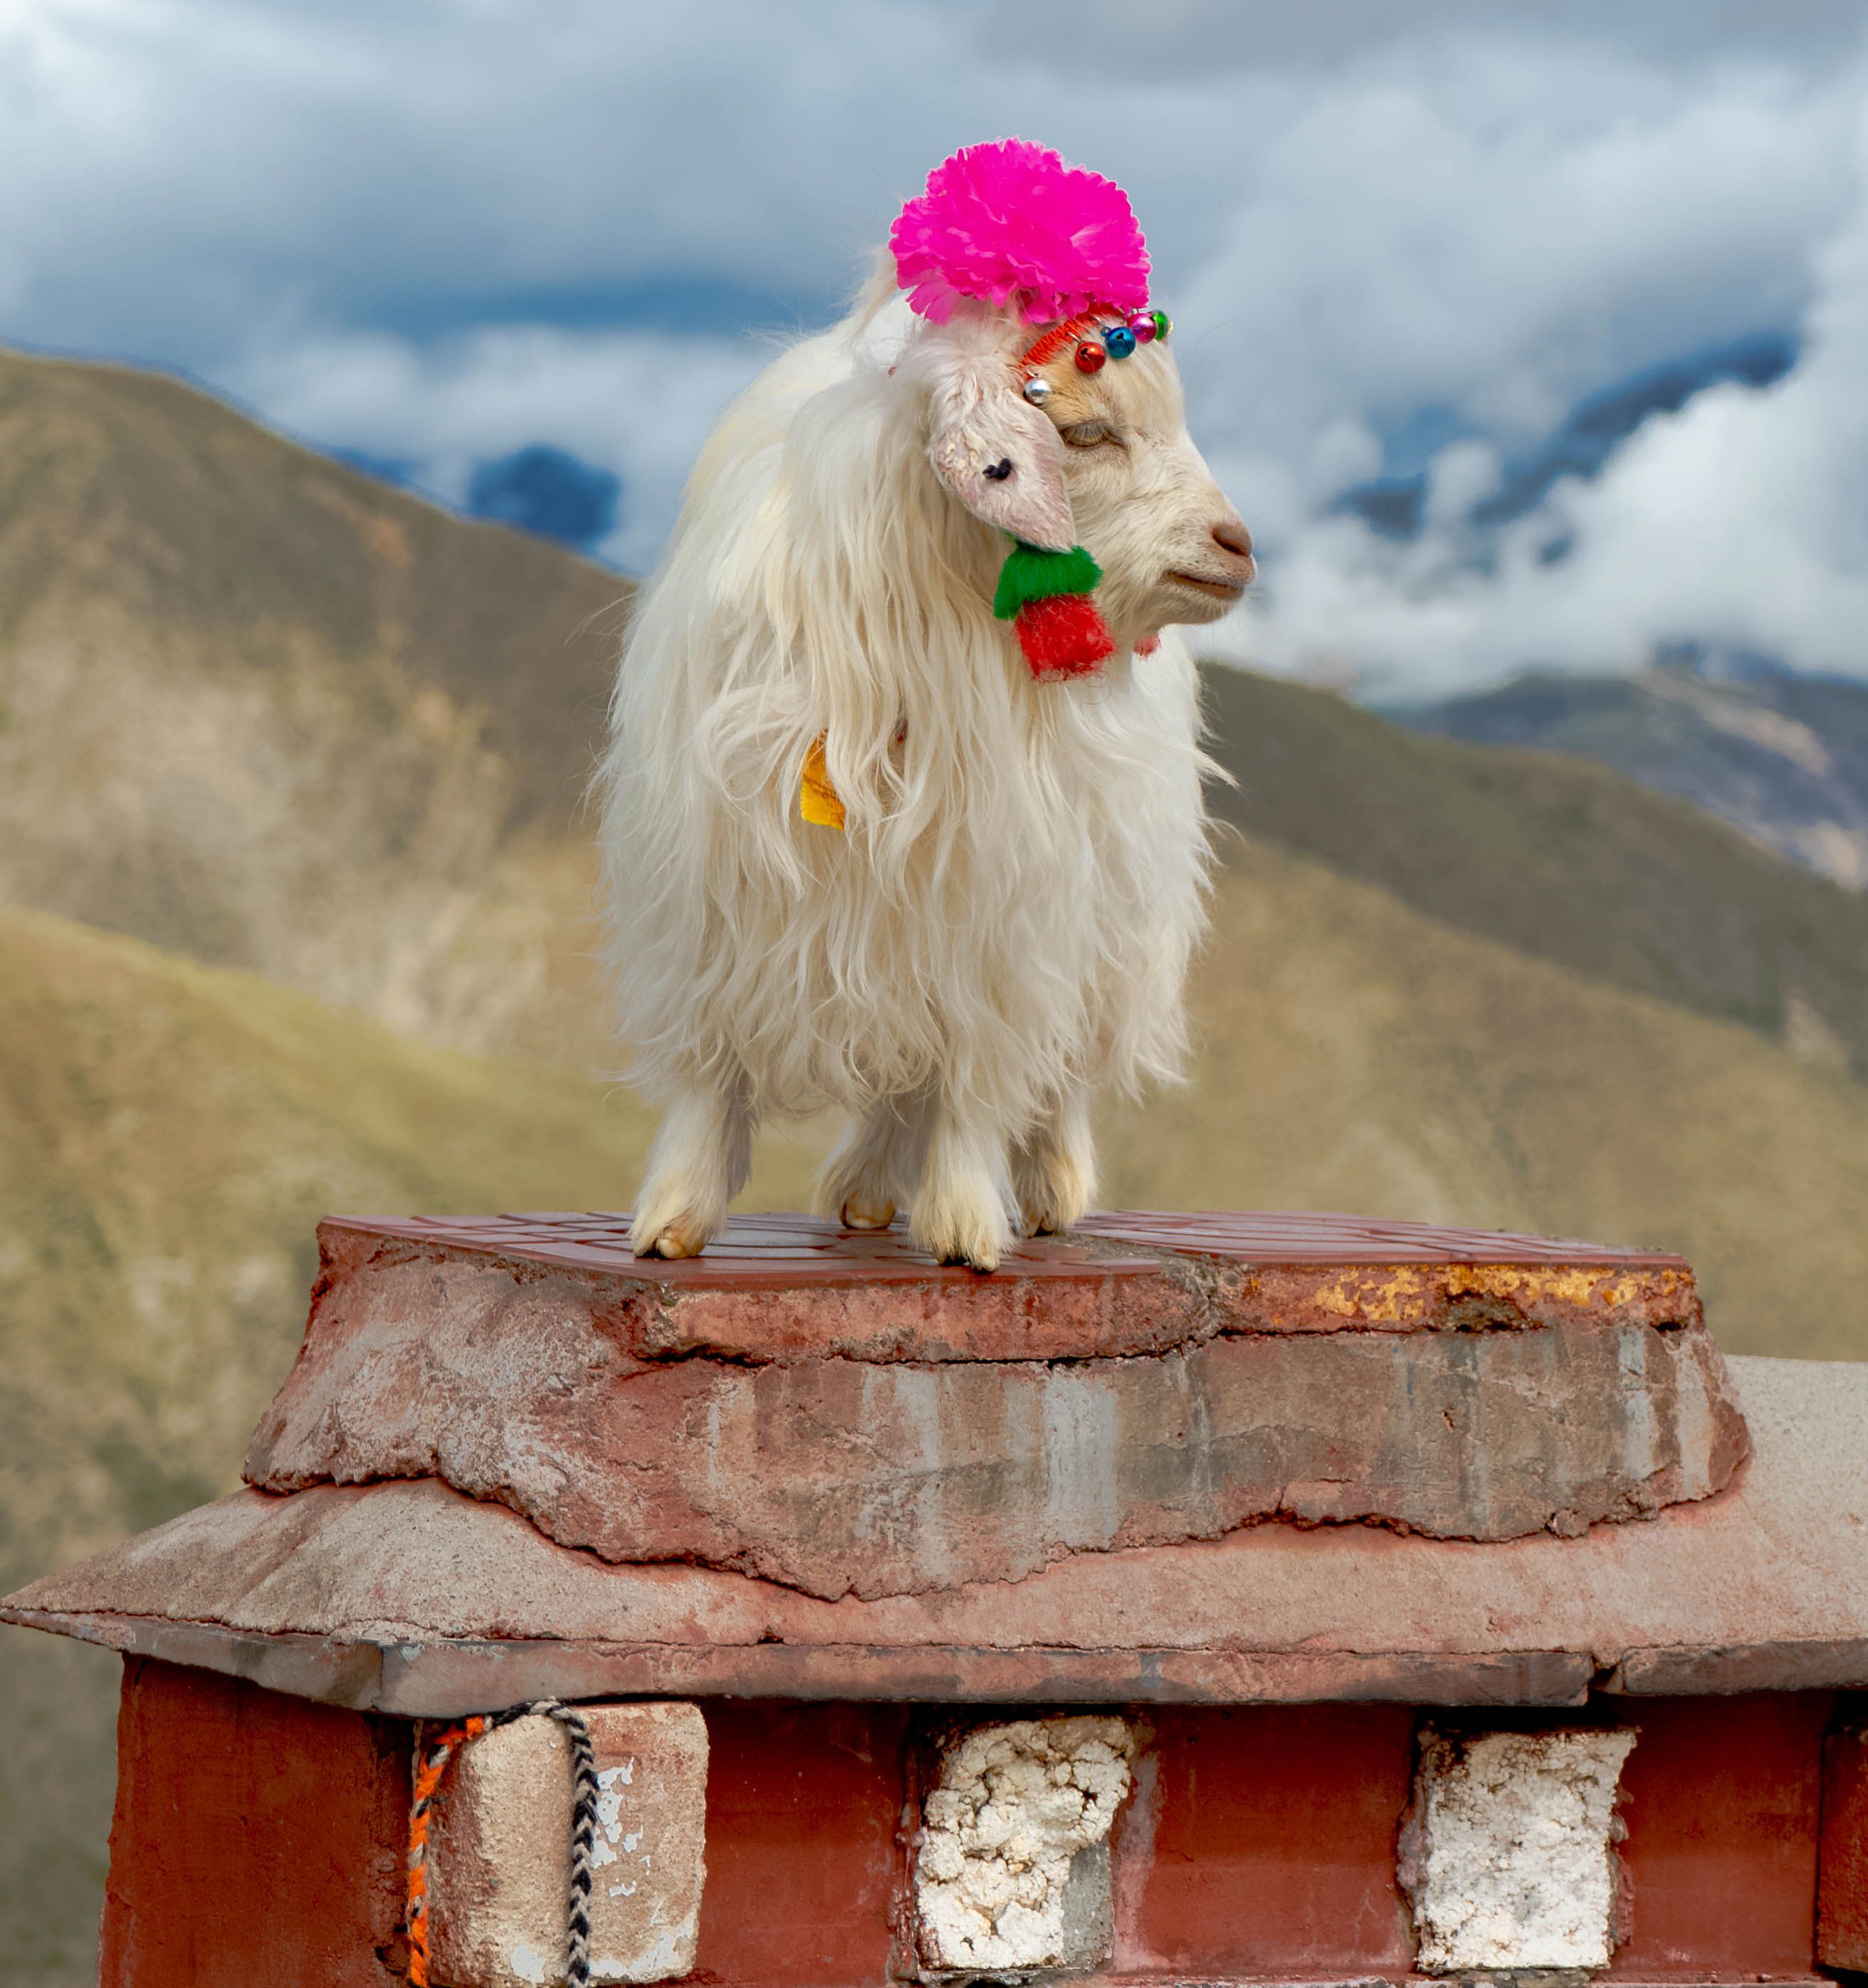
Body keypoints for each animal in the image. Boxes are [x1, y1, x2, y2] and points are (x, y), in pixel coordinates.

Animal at [597, 142, 1253, 1270]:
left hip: (1112, 903)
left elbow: (980, 1079)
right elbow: (707, 1070)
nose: (1237, 545)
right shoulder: (720, 890)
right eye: (1088, 430)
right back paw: (866, 1188)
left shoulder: (1007, 905)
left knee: (1053, 1067)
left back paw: (1047, 1187)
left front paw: (964, 1225)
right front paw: (671, 1218)